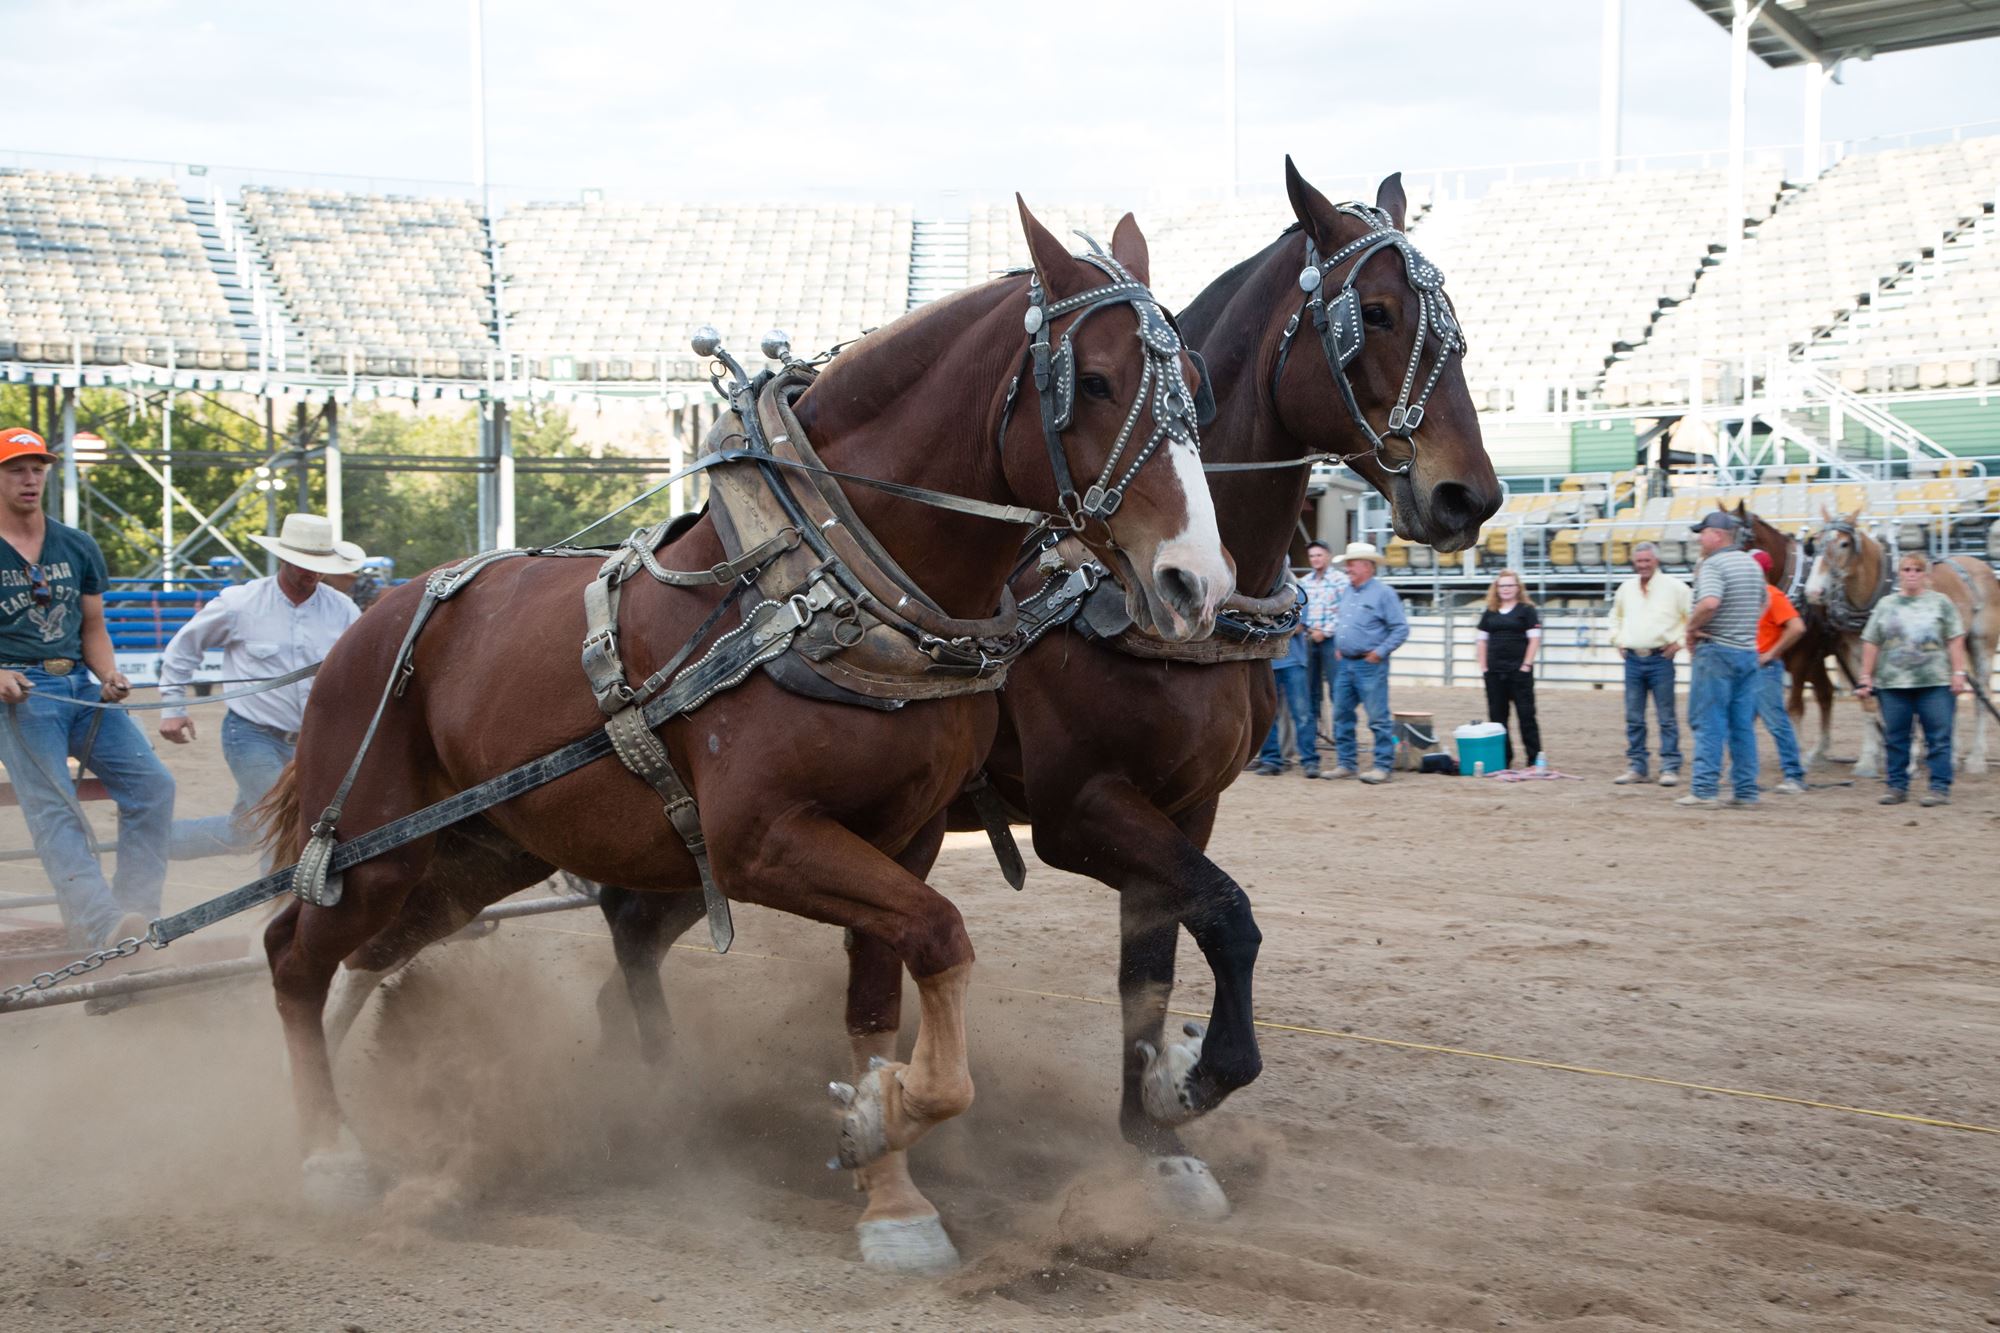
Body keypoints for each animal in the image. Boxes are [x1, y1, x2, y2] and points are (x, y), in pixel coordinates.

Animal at [258, 200, 1236, 1269]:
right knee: (292, 955)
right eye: (1094, 381)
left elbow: (878, 1003)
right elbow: (943, 937)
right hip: (378, 846)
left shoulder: (907, 839)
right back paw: (326, 1154)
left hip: (478, 855)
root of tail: (374, 617)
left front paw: (886, 1176)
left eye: (1195, 386)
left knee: (360, 957)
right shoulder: (760, 839)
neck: (821, 586)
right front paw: (882, 1123)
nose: (1196, 582)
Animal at [592, 160, 1501, 1231]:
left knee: (631, 925)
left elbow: (1152, 968)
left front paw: (1151, 1134)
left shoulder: (1186, 809)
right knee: (629, 922)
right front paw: (1187, 1084)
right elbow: (1228, 914)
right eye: (1380, 311)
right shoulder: (1082, 809)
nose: (1470, 497)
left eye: (1455, 326)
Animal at [1804, 508, 1999, 776]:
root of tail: (1982, 565)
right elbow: (1870, 704)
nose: (1814, 591)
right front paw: (1868, 761)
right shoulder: (1856, 654)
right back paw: (1951, 755)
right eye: (1816, 543)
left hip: (1982, 644)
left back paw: (1976, 759)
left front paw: (1909, 760)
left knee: (1982, 694)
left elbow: (1909, 706)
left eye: (1844, 543)